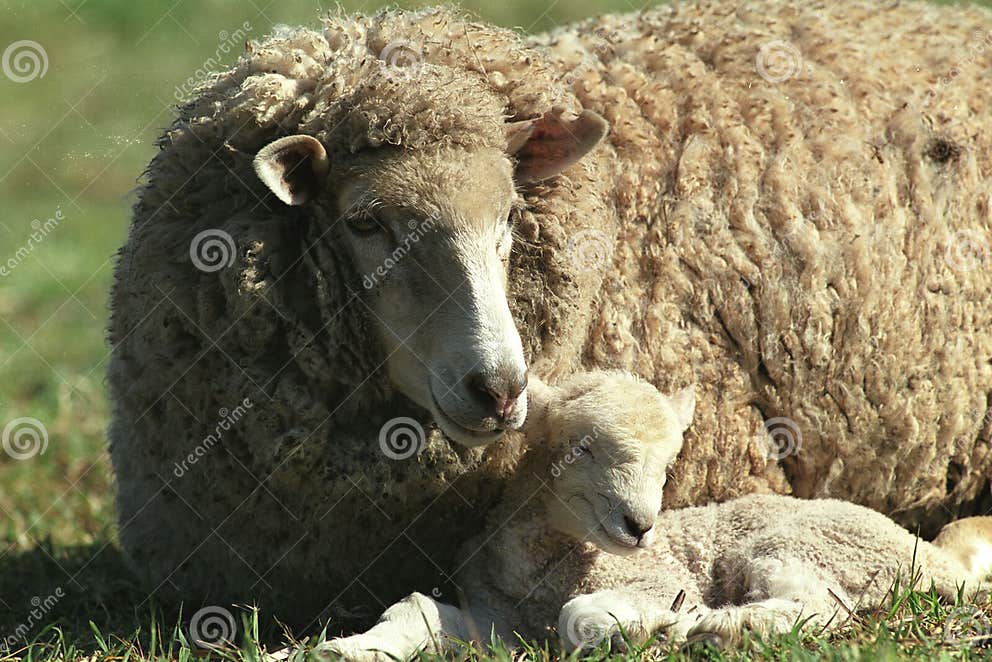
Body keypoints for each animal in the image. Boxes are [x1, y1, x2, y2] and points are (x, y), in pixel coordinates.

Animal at [321, 371, 992, 660]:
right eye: (581, 449)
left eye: (669, 465)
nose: (641, 527)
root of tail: (935, 555)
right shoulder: (501, 622)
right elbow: (415, 610)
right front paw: (348, 648)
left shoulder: (653, 580)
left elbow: (579, 616)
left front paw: (656, 627)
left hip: (794, 542)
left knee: (819, 608)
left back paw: (714, 627)